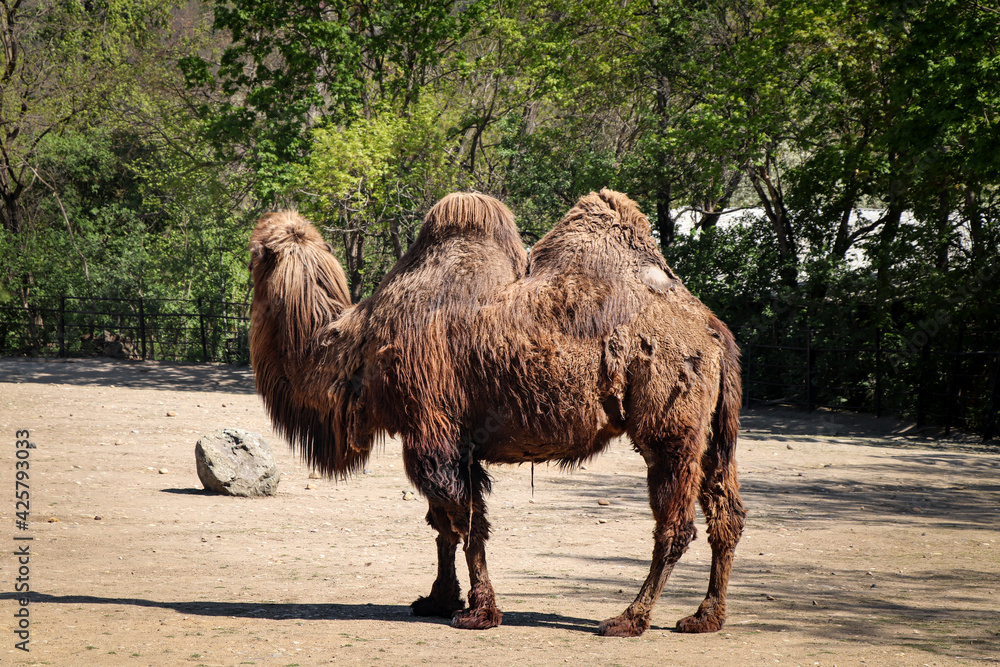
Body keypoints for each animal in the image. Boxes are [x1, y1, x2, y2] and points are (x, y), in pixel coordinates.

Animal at [248, 189, 745, 636]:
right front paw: (438, 600)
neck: (360, 348)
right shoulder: (450, 440)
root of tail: (714, 331)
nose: (247, 257)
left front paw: (478, 612)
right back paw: (705, 617)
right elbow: (445, 525)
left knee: (675, 526)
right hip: (712, 435)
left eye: (256, 254)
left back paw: (629, 619)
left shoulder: (432, 433)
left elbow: (463, 520)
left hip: (669, 428)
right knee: (727, 515)